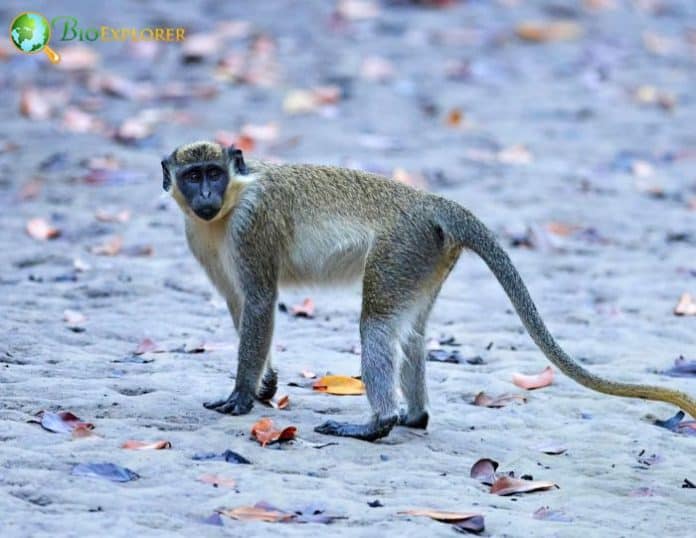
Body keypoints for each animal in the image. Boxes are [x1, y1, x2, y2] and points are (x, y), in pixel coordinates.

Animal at [161, 141, 696, 442]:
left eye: (214, 173)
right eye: (193, 176)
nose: (205, 196)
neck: (232, 201)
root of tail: (429, 202)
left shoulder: (253, 225)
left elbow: (257, 303)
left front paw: (241, 395)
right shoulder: (200, 238)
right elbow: (239, 304)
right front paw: (265, 384)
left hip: (402, 245)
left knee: (377, 323)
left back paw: (377, 423)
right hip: (426, 257)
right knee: (412, 334)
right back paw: (414, 416)